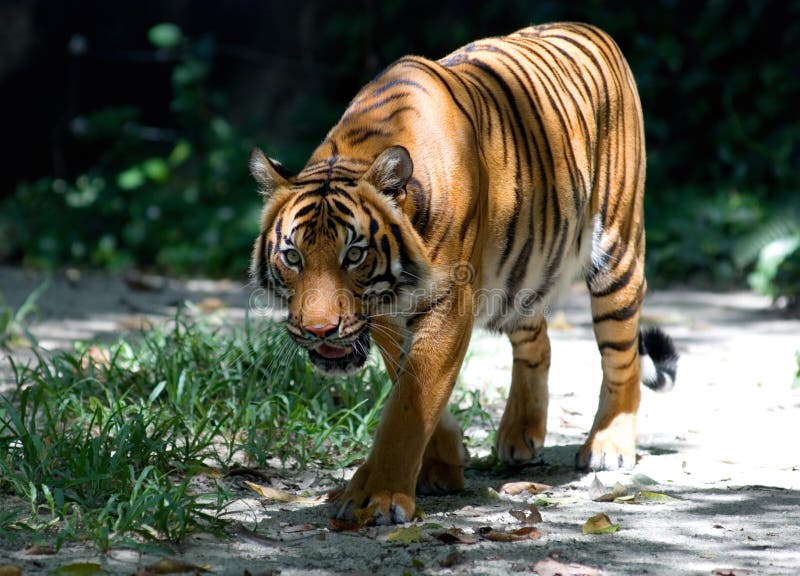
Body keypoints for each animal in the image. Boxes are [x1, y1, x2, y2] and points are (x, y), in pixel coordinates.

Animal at [250, 22, 679, 525]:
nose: (319, 331)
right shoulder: (388, 317)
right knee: (537, 341)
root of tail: (589, 28)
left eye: (353, 255)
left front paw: (378, 496)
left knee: (622, 356)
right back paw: (520, 433)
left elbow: (408, 407)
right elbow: (408, 389)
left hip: (615, 254)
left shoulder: (447, 306)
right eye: (293, 257)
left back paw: (609, 445)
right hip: (518, 276)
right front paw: (440, 464)